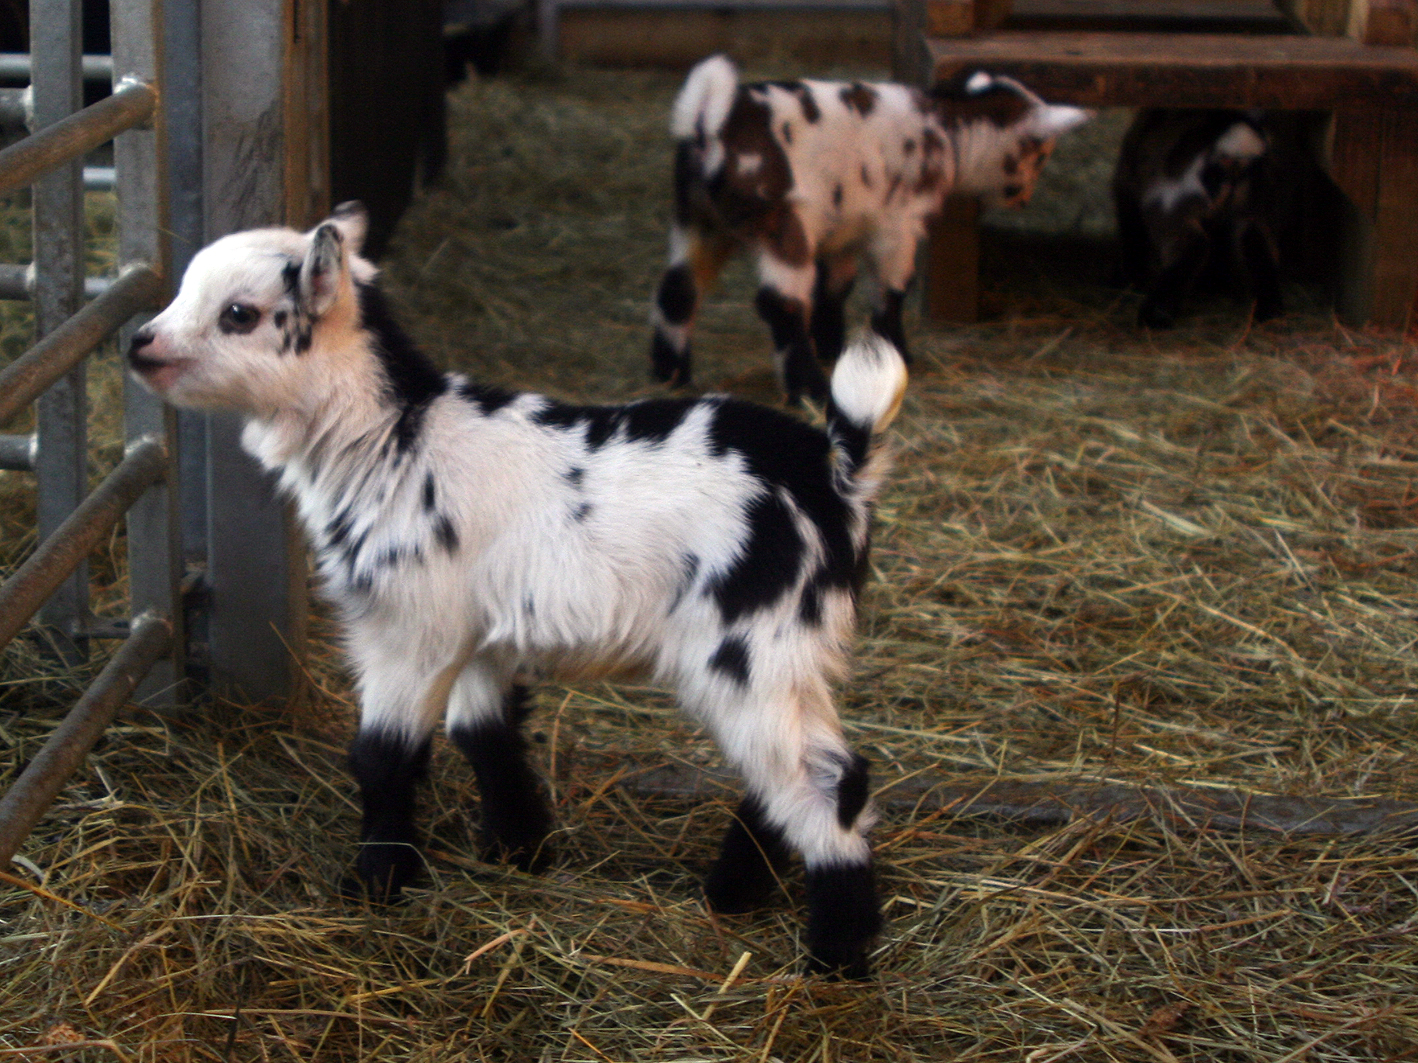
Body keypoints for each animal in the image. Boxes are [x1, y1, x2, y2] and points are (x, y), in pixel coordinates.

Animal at [127, 202, 909, 979]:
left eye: (239, 314)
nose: (140, 345)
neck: (392, 440)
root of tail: (836, 475)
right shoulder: (479, 628)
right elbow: (486, 734)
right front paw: (518, 847)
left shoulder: (412, 624)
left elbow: (384, 753)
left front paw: (377, 881)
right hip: (789, 646)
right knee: (791, 772)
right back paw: (734, 891)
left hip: (750, 642)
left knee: (824, 780)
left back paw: (835, 954)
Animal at [650, 55, 1090, 404]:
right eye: (1041, 152)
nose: (1024, 199)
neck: (947, 128)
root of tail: (707, 127)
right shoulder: (899, 227)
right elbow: (892, 292)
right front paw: (896, 354)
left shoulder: (844, 228)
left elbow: (834, 288)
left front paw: (832, 346)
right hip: (783, 223)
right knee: (781, 304)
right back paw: (807, 389)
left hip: (698, 219)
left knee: (678, 288)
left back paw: (670, 375)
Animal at [1112, 108, 1284, 329]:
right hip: (1254, 207)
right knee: (1258, 244)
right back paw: (1270, 311)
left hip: (1173, 210)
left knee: (1194, 246)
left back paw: (1155, 314)